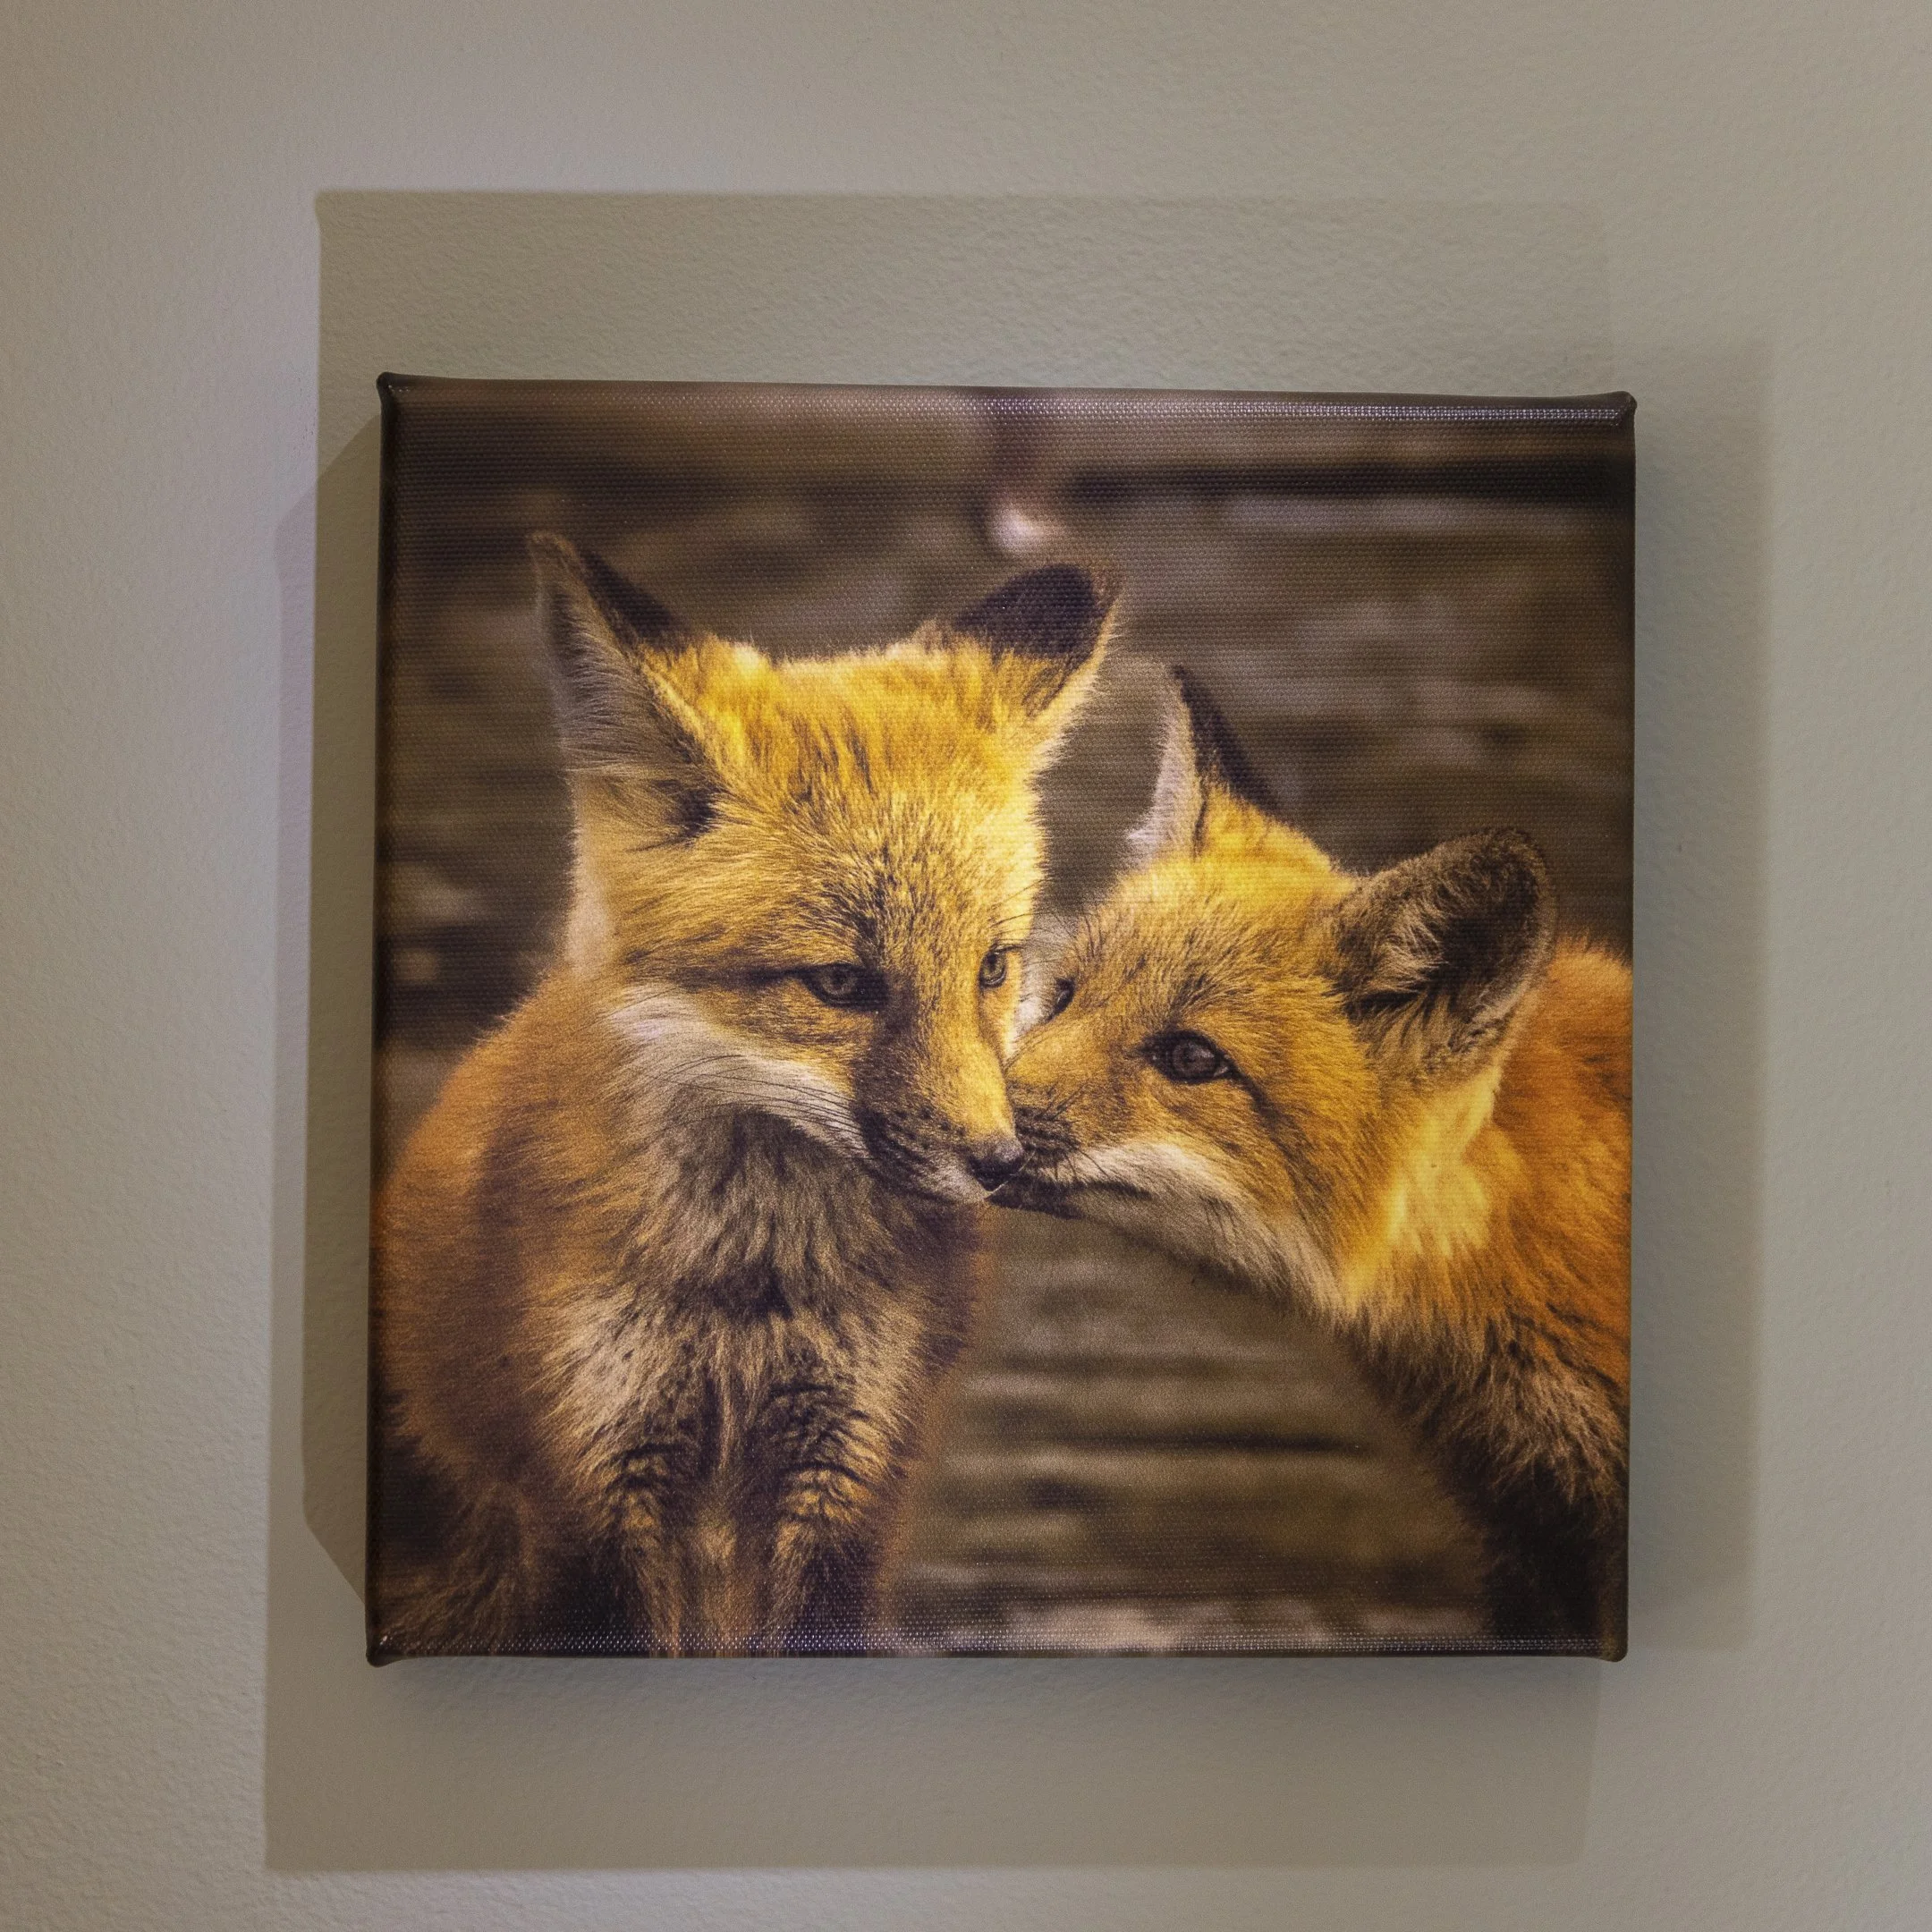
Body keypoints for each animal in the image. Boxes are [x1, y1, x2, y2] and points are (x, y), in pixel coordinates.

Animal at [368, 536, 1115, 1658]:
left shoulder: (847, 1473)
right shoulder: (593, 1481)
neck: (748, 1295)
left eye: (991, 968)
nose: (999, 1162)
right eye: (841, 984)